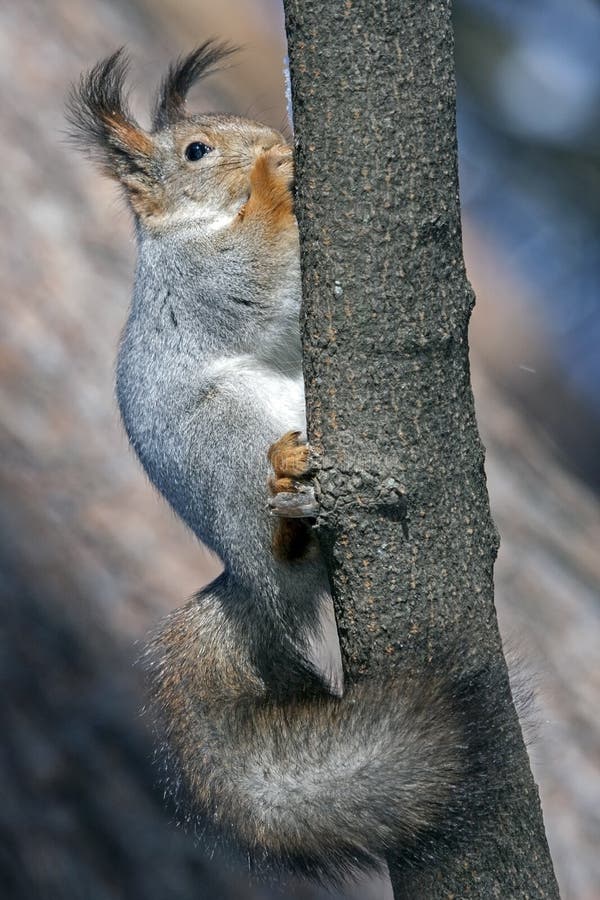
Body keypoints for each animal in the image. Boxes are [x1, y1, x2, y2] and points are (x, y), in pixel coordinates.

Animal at [67, 44, 514, 885]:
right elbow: (263, 276)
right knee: (280, 535)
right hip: (233, 442)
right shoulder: (207, 284)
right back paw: (290, 499)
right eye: (196, 150)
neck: (196, 224)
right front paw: (279, 182)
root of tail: (244, 581)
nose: (273, 140)